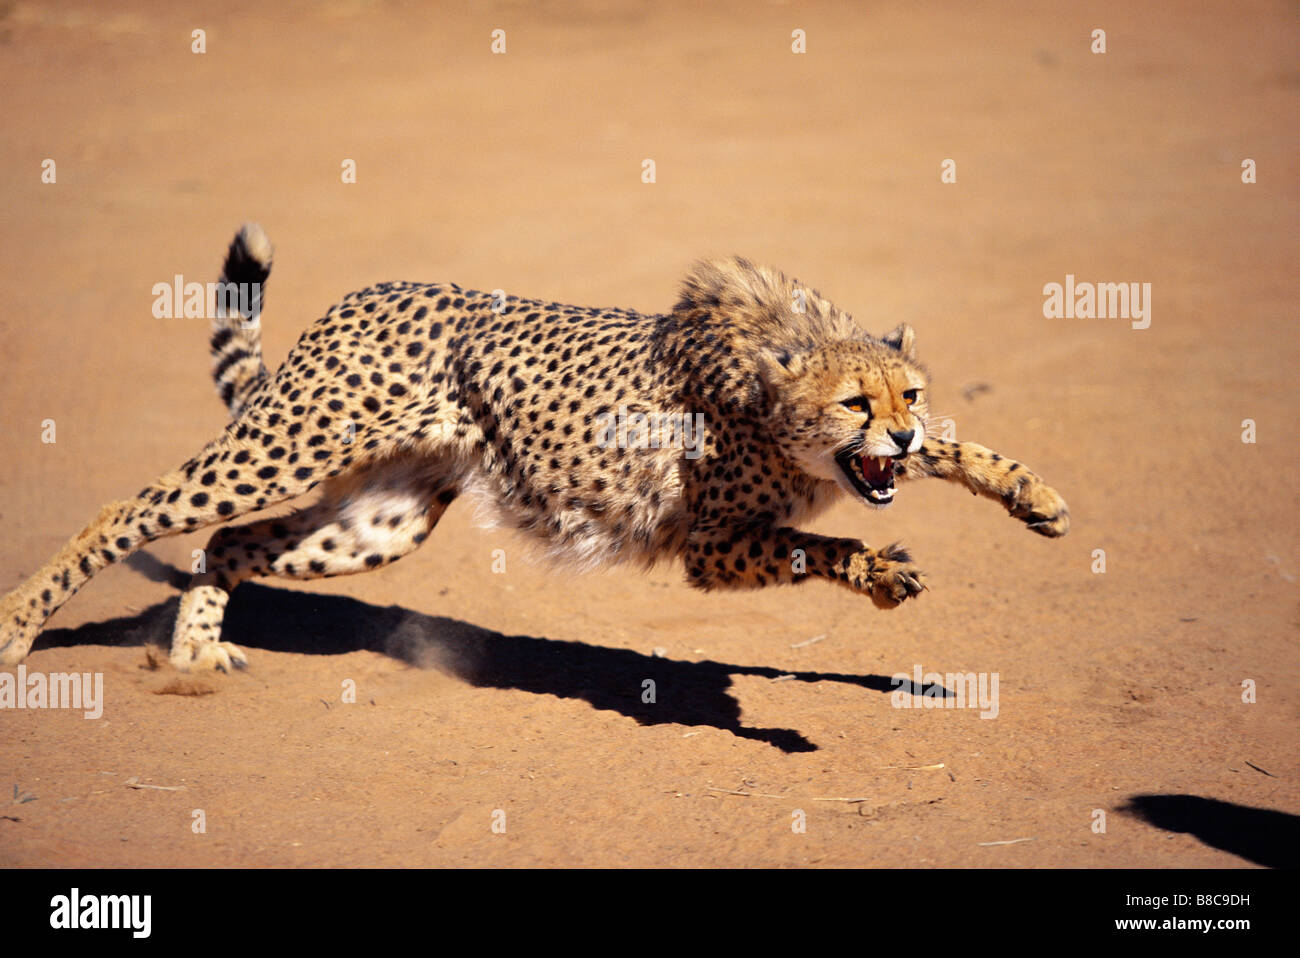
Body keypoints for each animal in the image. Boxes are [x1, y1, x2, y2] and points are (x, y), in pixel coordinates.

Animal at [0, 224, 1069, 673]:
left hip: (382, 523)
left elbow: (959, 451)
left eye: (910, 394)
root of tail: (366, 291)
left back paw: (191, 655)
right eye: (855, 402)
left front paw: (1034, 493)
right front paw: (881, 571)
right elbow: (823, 543)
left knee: (229, 544)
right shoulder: (711, 546)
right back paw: (19, 627)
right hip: (286, 445)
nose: (899, 427)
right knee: (132, 510)